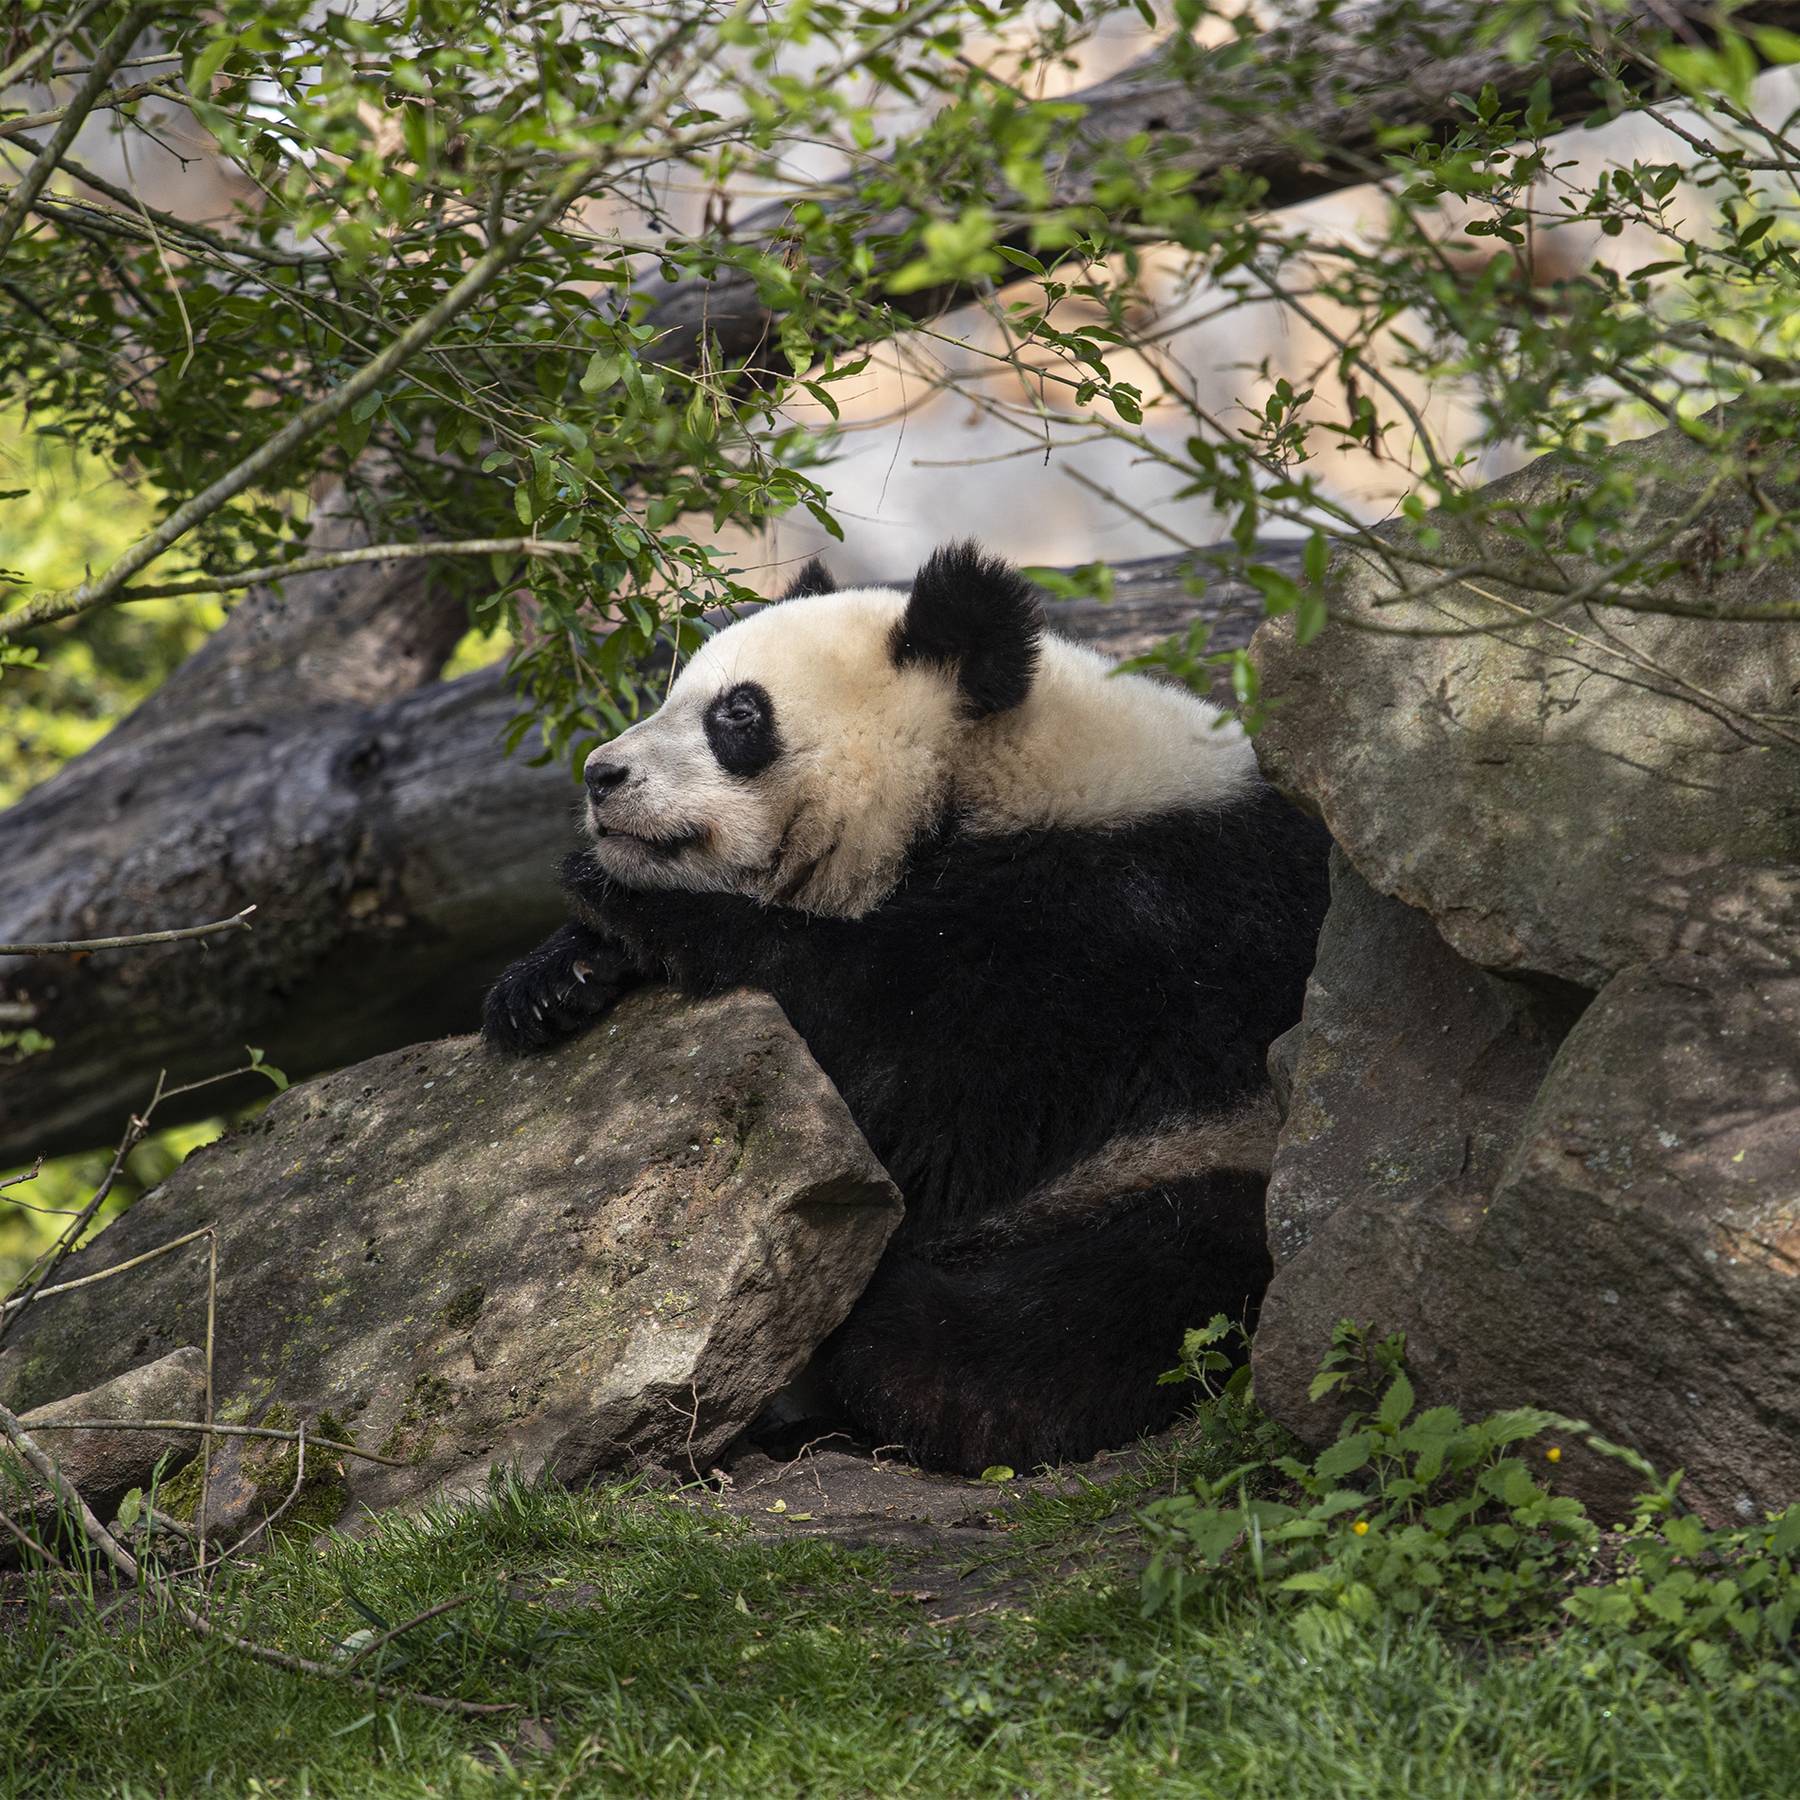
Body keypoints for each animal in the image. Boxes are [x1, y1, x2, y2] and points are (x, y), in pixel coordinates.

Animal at [484, 543, 1330, 1474]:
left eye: (738, 714)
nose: (601, 775)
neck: (990, 775)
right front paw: (552, 983)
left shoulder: (1129, 931)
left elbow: (931, 1093)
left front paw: (636, 905)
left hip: (1220, 1159)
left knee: (1065, 1316)